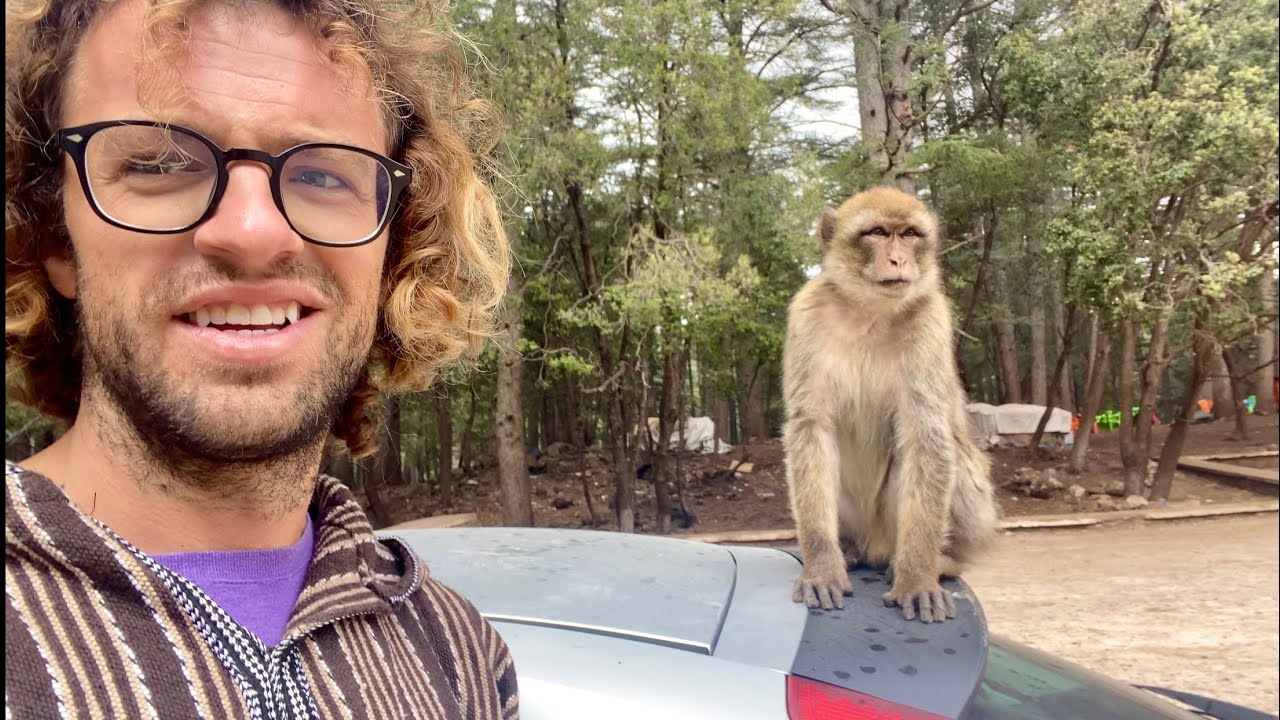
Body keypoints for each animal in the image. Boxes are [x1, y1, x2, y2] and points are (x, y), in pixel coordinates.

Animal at [781, 185, 998, 623]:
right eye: (878, 232)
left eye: (910, 234)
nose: (899, 259)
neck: (869, 311)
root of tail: (875, 546)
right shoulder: (807, 315)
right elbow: (810, 428)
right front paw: (822, 566)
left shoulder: (931, 320)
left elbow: (926, 438)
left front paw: (917, 580)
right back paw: (846, 550)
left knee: (950, 456)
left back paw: (939, 561)